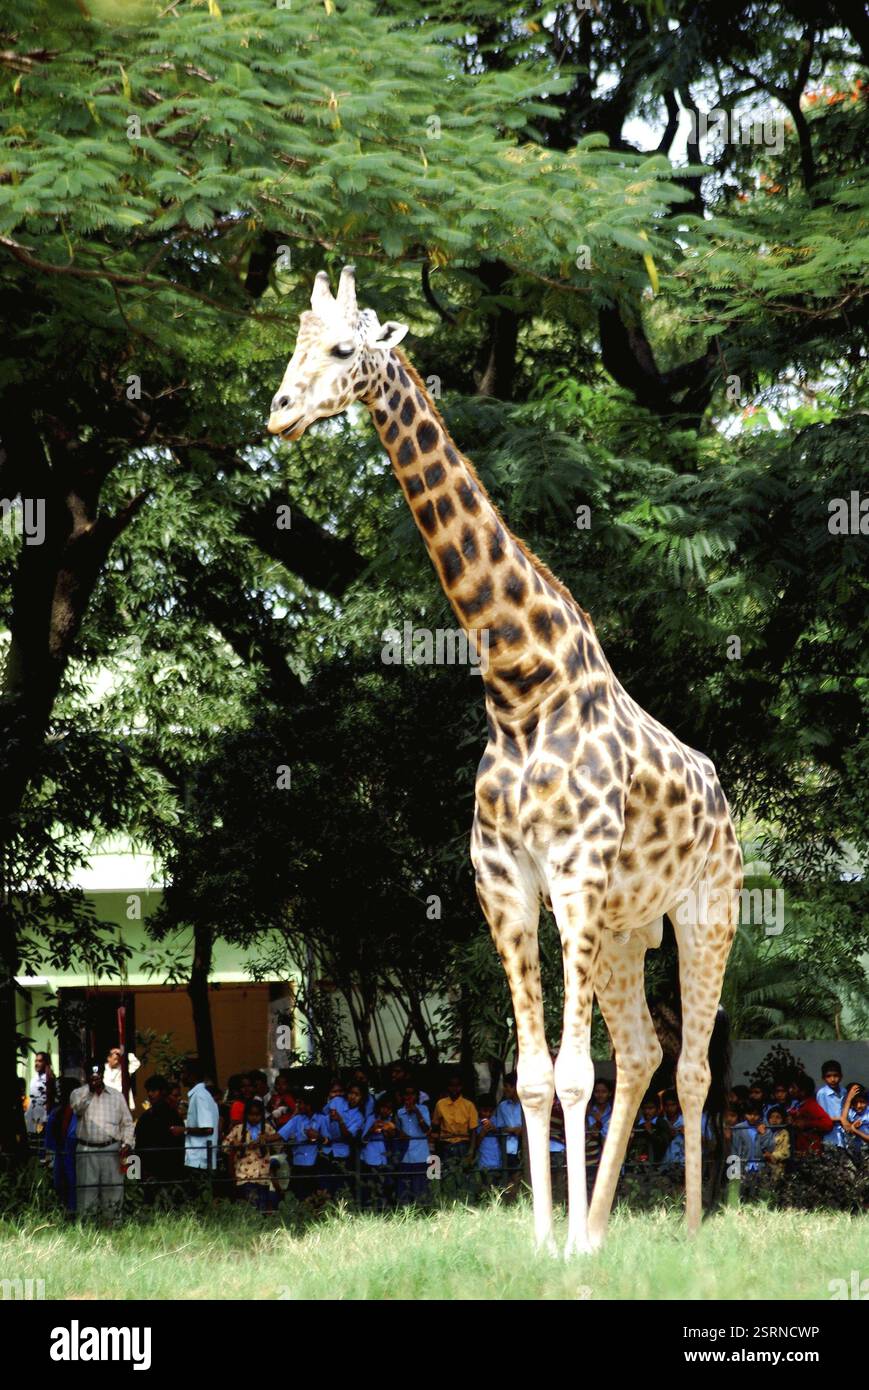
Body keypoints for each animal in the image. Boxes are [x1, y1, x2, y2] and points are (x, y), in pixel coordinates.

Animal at [267, 266, 742, 1256]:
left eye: (342, 348)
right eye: (293, 347)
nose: (278, 413)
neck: (520, 685)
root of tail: (721, 796)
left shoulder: (575, 871)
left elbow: (570, 1073)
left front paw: (566, 1250)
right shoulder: (504, 879)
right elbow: (529, 1074)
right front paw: (545, 1245)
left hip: (705, 909)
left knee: (687, 1069)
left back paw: (685, 1232)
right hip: (625, 928)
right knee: (642, 1054)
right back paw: (599, 1230)